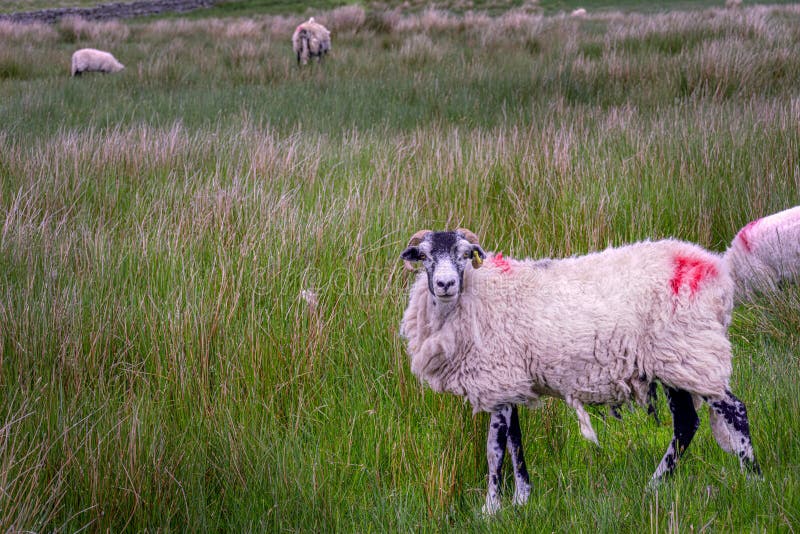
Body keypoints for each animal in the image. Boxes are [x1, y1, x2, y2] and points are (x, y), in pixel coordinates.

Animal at [399, 210, 799, 514]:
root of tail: (716, 270)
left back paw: (754, 478)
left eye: (465, 255)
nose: (445, 284)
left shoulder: (497, 377)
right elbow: (514, 443)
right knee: (687, 423)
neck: (477, 296)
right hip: (676, 359)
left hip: (692, 350)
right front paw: (522, 500)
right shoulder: (510, 380)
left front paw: (491, 509)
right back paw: (655, 486)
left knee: (734, 411)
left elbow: (495, 448)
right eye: (425, 256)